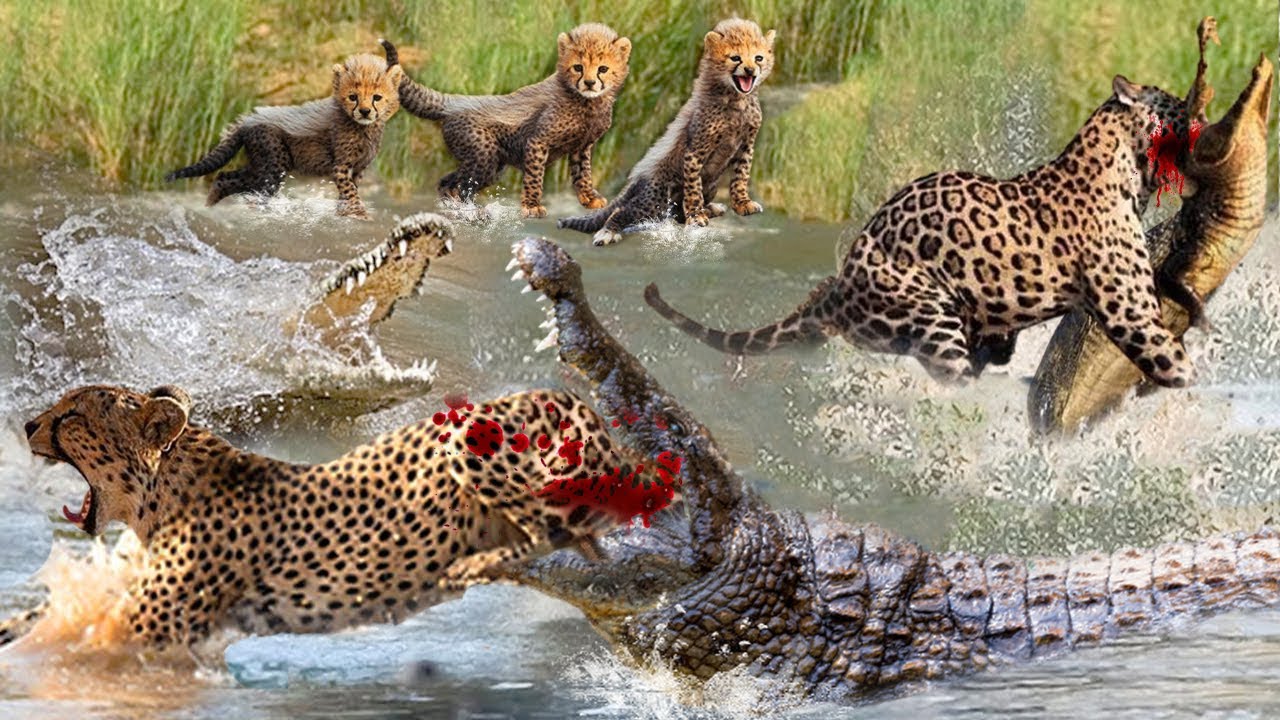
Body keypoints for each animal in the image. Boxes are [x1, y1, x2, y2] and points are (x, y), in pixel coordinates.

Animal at [7, 383, 661, 654]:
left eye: (73, 416)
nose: (28, 424)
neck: (162, 494)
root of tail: (567, 396)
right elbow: (40, 617)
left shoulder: (147, 625)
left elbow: (80, 645)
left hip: (470, 438)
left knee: (560, 529)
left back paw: (473, 564)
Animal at [165, 51, 404, 219]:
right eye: (353, 96)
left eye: (377, 97)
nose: (364, 111)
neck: (362, 126)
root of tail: (248, 119)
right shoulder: (342, 166)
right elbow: (351, 193)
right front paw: (360, 215)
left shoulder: (358, 169)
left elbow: (348, 193)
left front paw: (345, 214)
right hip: (273, 164)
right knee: (247, 187)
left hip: (262, 164)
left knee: (225, 177)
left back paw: (211, 206)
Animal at [392, 24, 632, 218]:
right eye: (578, 67)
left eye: (603, 69)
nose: (589, 83)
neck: (587, 101)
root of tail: (457, 100)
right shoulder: (538, 141)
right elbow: (534, 176)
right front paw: (532, 206)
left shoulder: (581, 147)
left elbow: (584, 174)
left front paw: (589, 198)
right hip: (483, 157)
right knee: (460, 184)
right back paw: (470, 211)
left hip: (492, 166)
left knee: (449, 182)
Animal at [558, 17, 774, 246]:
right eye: (735, 58)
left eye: (758, 58)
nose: (750, 70)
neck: (736, 99)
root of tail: (638, 178)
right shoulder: (694, 151)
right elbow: (693, 189)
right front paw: (697, 216)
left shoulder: (746, 145)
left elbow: (741, 176)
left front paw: (743, 203)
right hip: (656, 200)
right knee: (622, 210)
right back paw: (607, 232)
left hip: (709, 186)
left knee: (677, 214)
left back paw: (712, 208)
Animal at [645, 75, 1201, 387]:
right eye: (1179, 105)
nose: (1208, 117)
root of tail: (840, 288)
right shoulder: (1130, 312)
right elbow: (1173, 363)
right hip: (929, 317)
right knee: (951, 375)